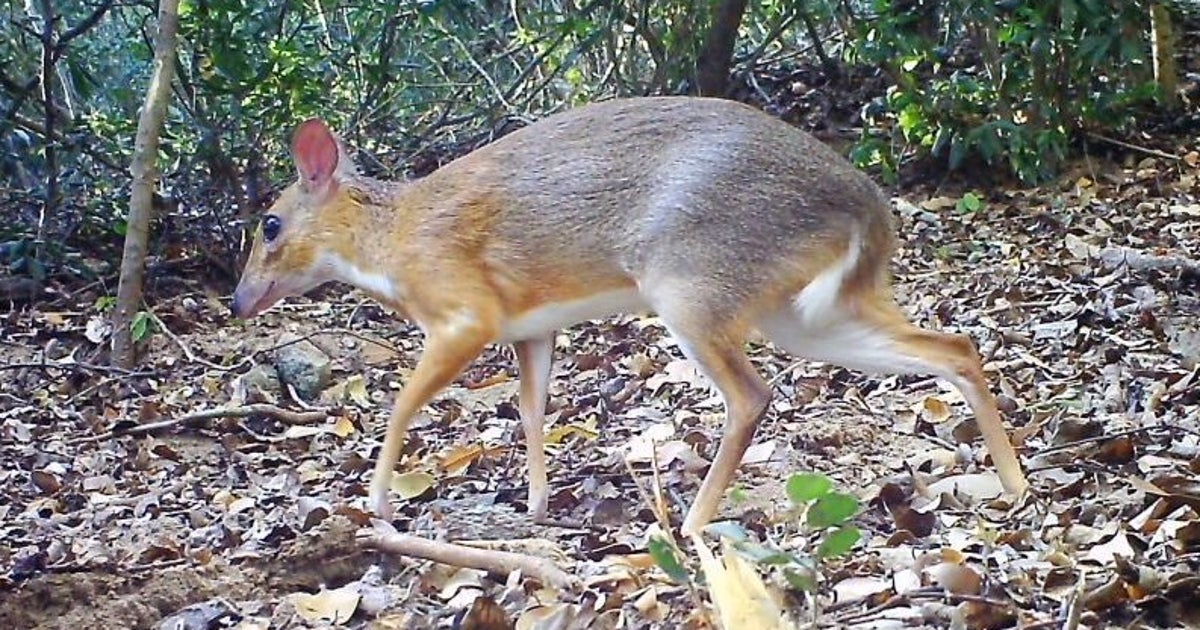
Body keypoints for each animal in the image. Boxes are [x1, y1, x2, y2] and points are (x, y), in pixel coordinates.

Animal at [231, 96, 1029, 537]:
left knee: (752, 395)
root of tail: (866, 202)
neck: (391, 241)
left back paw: (693, 524)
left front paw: (377, 500)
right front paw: (536, 503)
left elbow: (401, 402)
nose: (238, 301)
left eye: (269, 224)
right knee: (954, 345)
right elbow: (531, 411)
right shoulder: (530, 326)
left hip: (691, 280)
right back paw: (1016, 487)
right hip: (803, 312)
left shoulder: (464, 311)